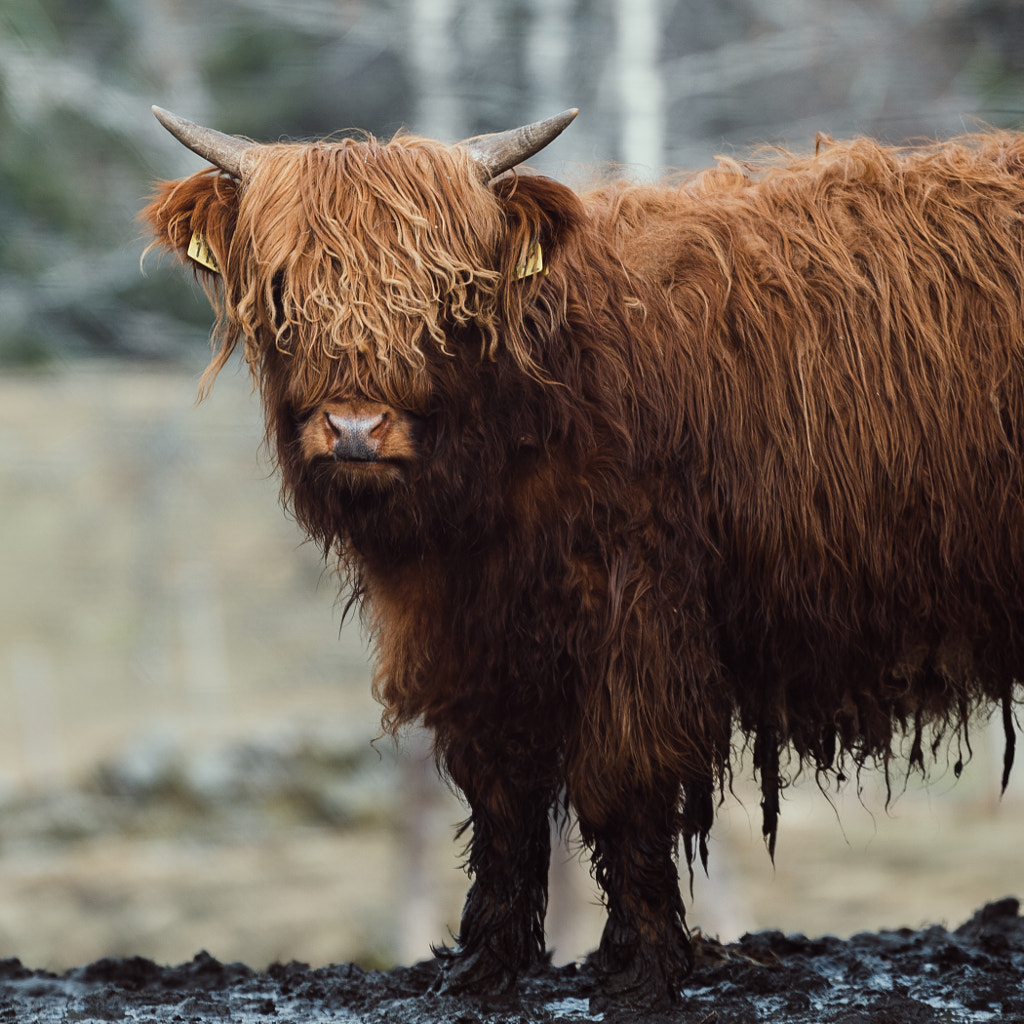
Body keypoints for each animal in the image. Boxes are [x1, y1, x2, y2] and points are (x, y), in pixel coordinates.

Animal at [142, 105, 1024, 1011]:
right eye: (284, 290)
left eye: (448, 294)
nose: (356, 430)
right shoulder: (472, 634)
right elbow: (502, 797)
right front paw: (485, 964)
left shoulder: (638, 610)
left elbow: (624, 786)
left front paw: (645, 967)